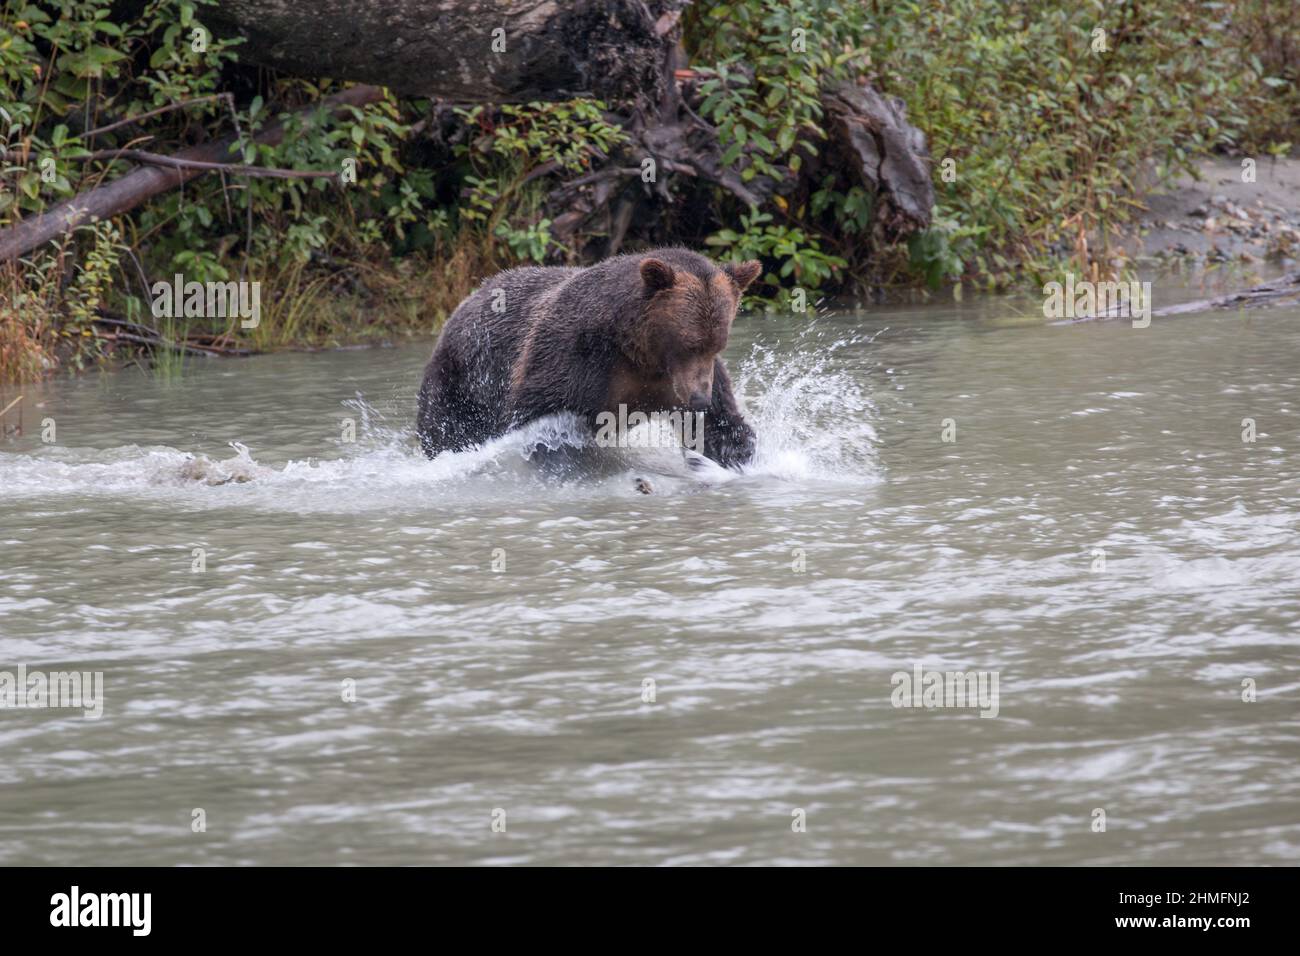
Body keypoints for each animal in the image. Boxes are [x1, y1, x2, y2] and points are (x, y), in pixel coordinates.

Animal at [416, 248, 762, 470]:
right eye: (688, 344)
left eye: (716, 344)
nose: (699, 398)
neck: (639, 350)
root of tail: (465, 302)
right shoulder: (575, 357)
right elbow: (537, 419)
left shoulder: (672, 381)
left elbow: (720, 425)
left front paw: (736, 455)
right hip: (459, 381)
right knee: (447, 429)